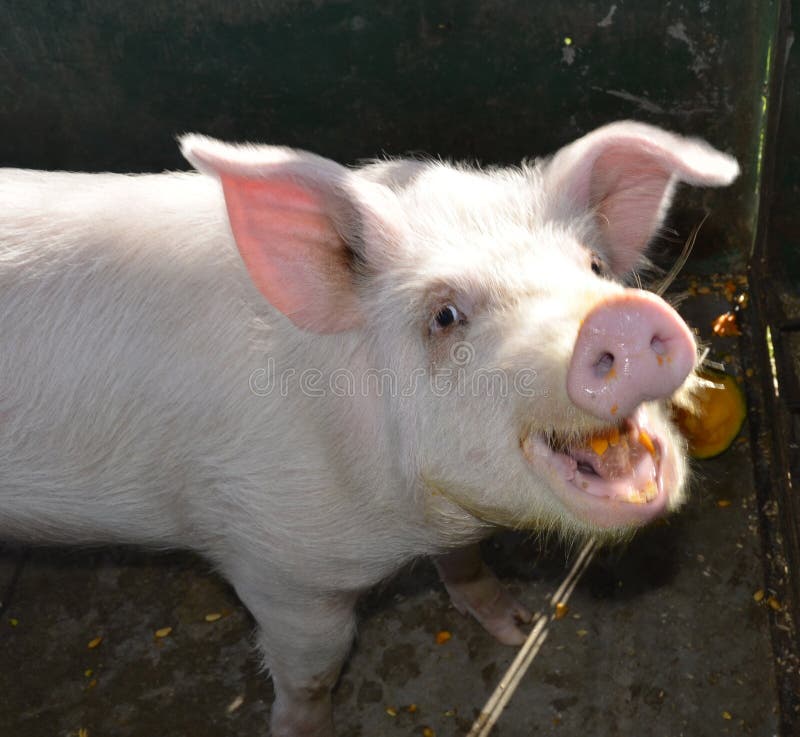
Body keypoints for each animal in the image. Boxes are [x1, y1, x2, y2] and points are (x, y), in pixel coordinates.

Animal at [0, 121, 738, 736]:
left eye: (594, 266)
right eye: (444, 316)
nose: (620, 315)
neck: (415, 517)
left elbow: (465, 559)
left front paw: (513, 625)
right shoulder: (276, 563)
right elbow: (314, 669)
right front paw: (306, 730)